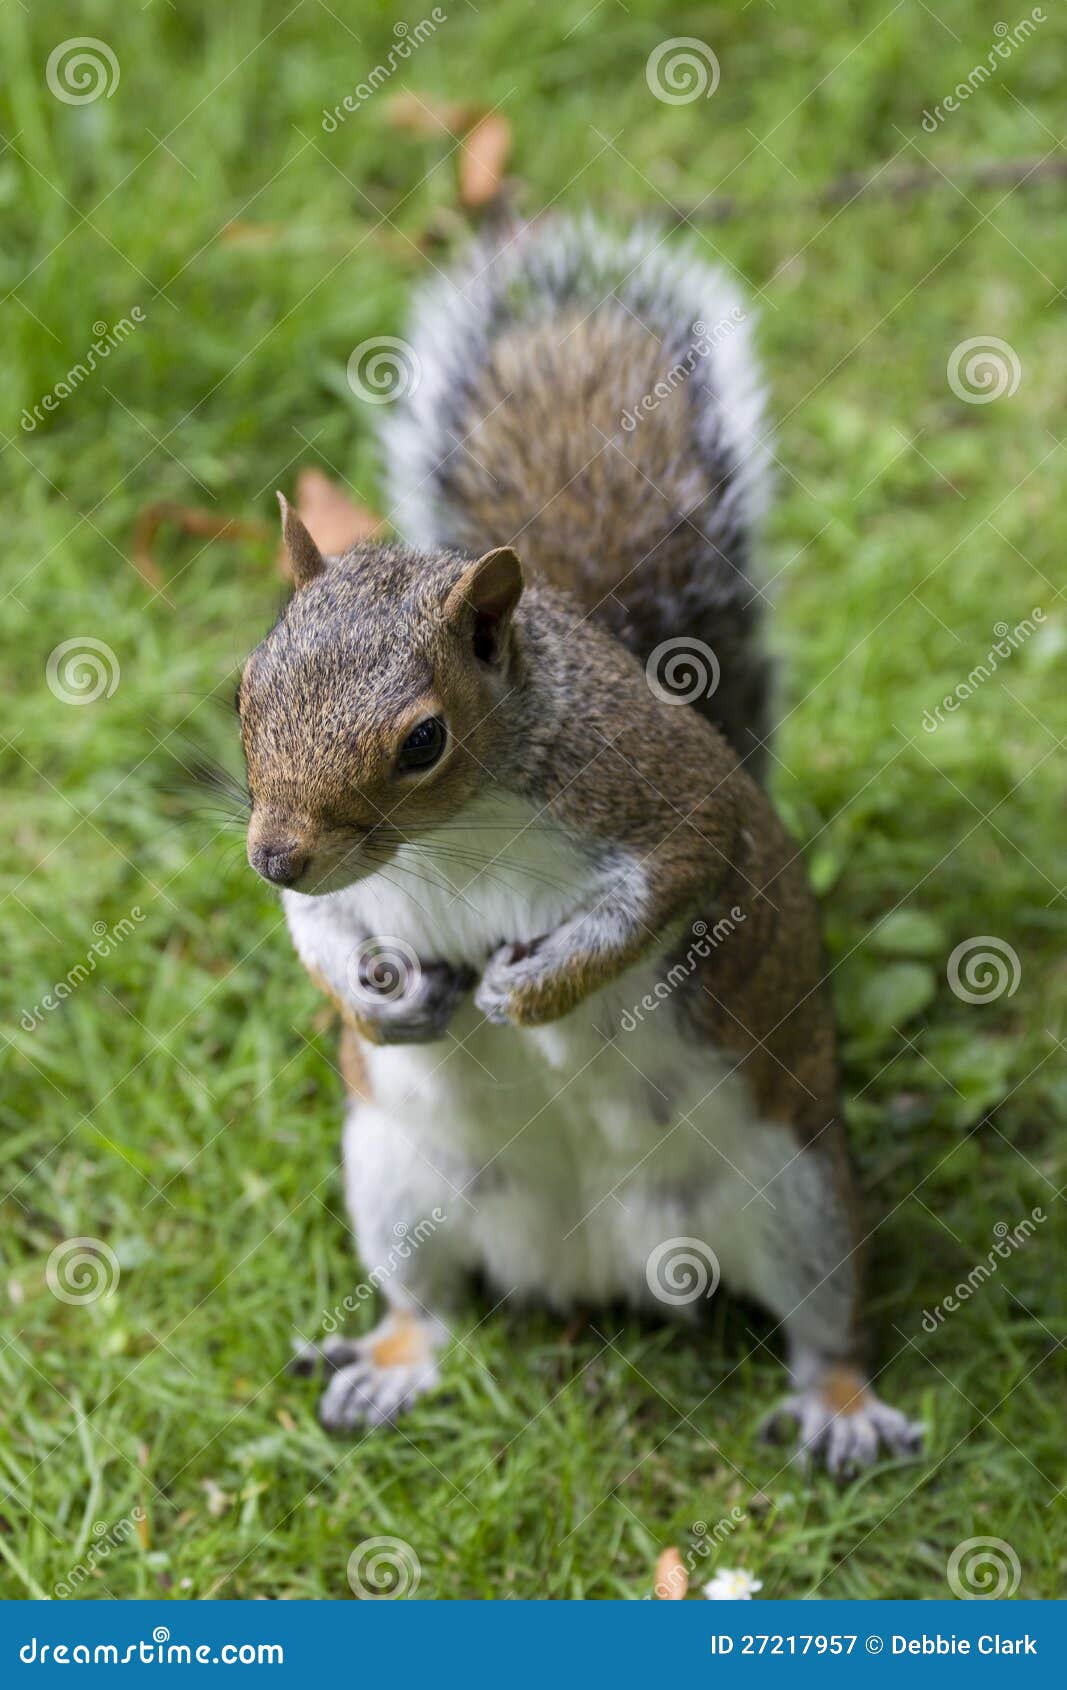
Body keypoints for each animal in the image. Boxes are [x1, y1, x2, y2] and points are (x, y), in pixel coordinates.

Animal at [238, 217, 922, 1475]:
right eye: (246, 688)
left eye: (422, 740)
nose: (273, 855)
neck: (448, 842)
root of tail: (594, 1266)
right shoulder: (327, 885)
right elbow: (320, 927)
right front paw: (377, 999)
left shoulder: (669, 802)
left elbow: (655, 893)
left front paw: (533, 989)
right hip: (394, 1184)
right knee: (428, 1305)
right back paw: (388, 1363)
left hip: (799, 1193)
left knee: (824, 1322)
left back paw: (840, 1406)